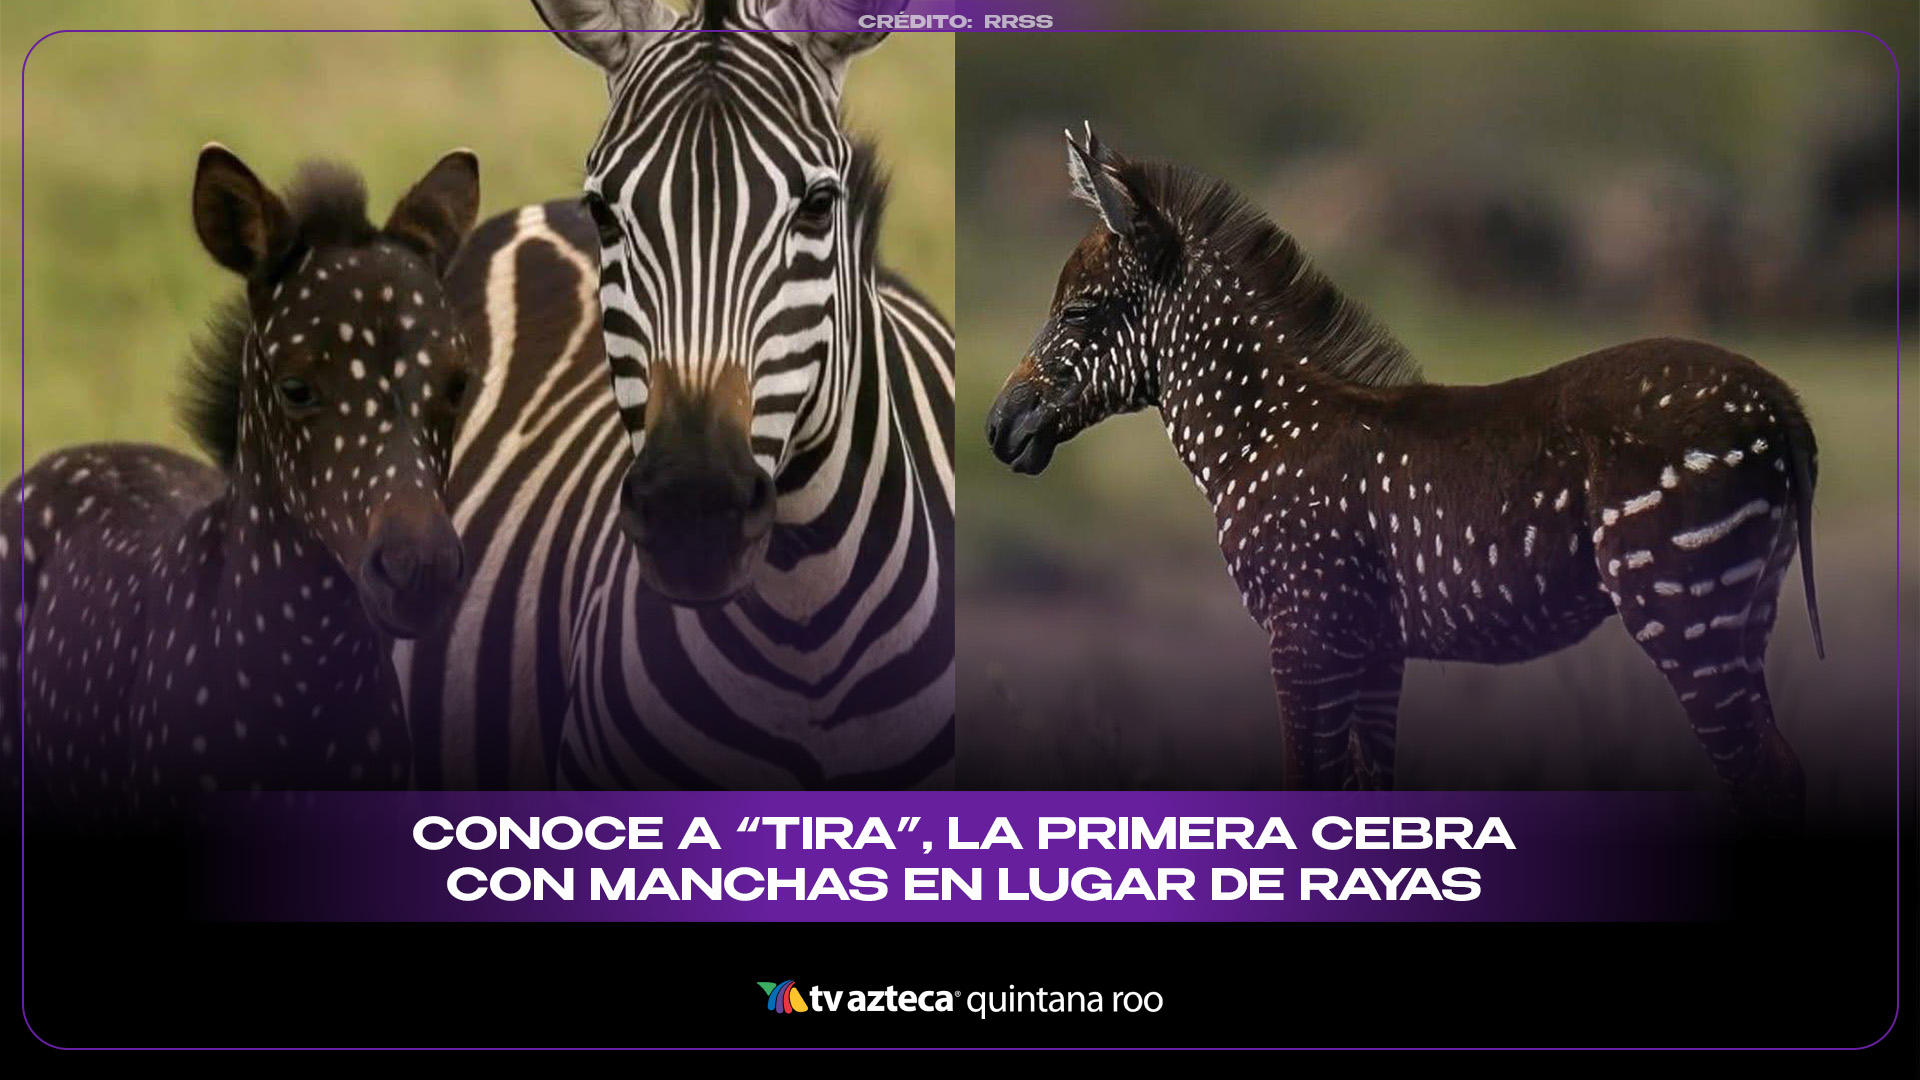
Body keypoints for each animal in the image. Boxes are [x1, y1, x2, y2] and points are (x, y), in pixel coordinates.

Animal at [985, 126, 1822, 825]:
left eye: (1081, 311)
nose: (997, 427)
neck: (1262, 435)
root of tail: (1779, 400)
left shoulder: (1306, 630)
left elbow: (1308, 788)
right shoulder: (1373, 646)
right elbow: (1365, 799)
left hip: (1683, 605)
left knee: (1762, 769)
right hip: (1742, 610)